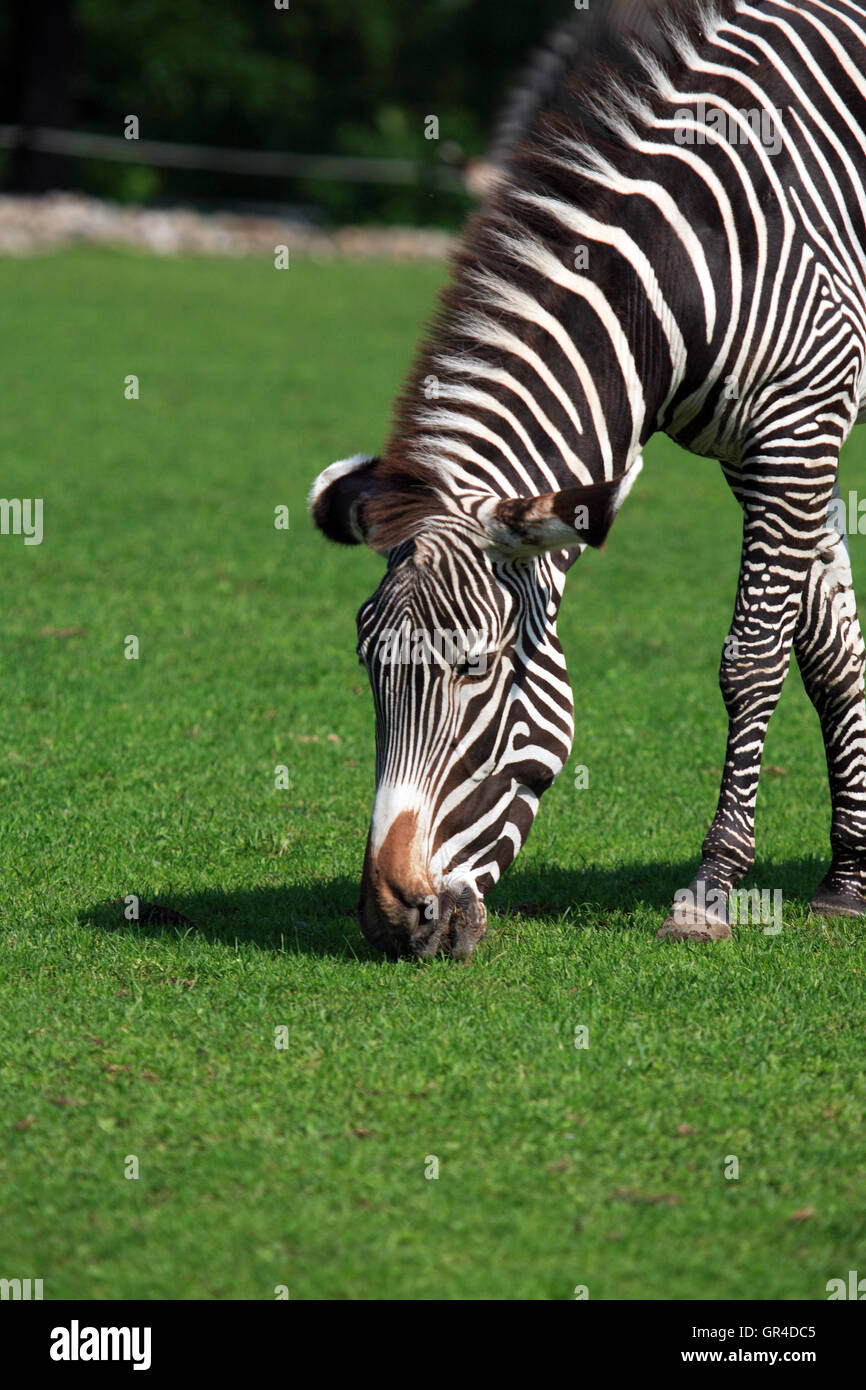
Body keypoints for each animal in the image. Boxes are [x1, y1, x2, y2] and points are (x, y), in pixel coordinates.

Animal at [310, 0, 866, 958]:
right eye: (367, 665)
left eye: (475, 669)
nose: (390, 917)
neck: (685, 273)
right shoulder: (778, 450)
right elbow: (829, 653)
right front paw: (850, 882)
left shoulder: (798, 431)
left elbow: (753, 659)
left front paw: (711, 893)